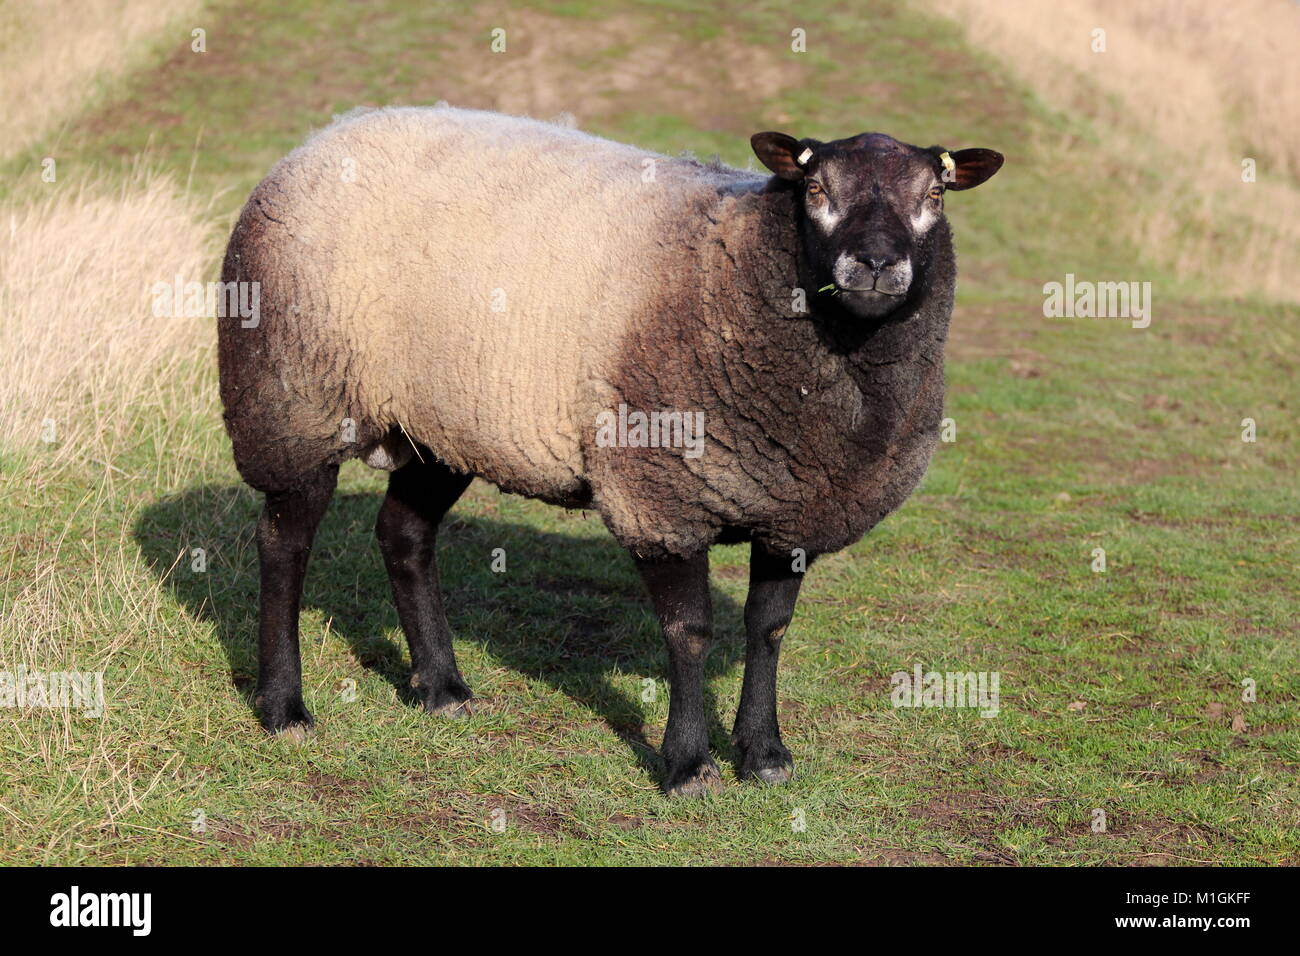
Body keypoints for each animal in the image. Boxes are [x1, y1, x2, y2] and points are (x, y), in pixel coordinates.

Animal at [217, 105, 1003, 796]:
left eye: (935, 194)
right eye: (815, 190)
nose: (875, 263)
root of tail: (323, 137)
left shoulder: (793, 511)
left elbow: (770, 628)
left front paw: (765, 754)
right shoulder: (661, 494)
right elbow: (690, 632)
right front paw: (687, 767)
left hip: (441, 426)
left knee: (403, 535)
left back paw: (442, 687)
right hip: (292, 396)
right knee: (283, 545)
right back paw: (285, 707)